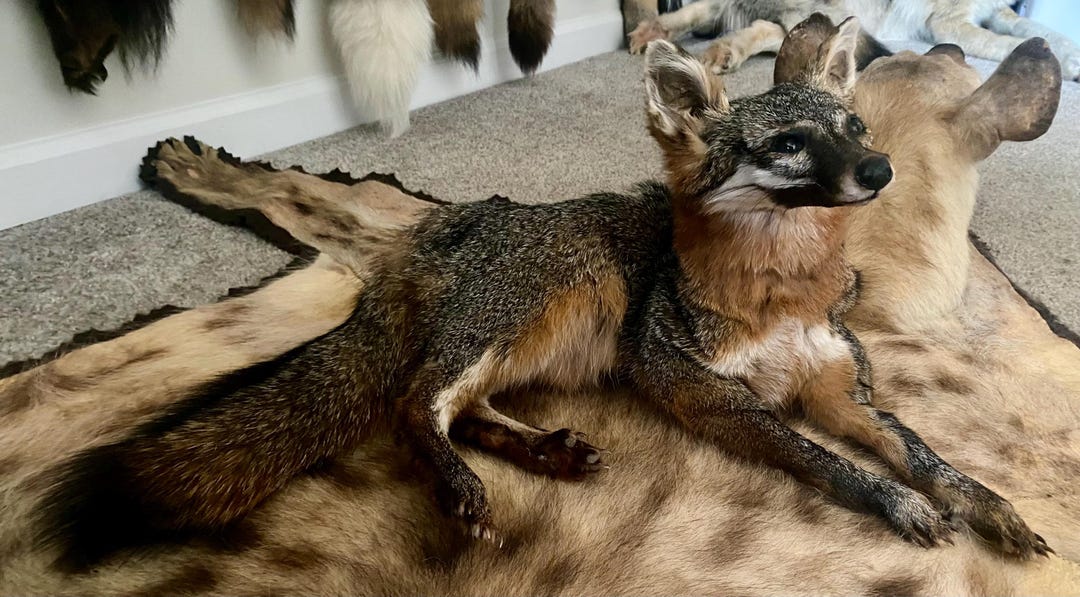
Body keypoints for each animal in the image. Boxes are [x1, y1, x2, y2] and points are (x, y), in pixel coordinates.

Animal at [35, 17, 1049, 573]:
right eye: (790, 146)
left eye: (853, 129)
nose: (878, 172)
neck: (781, 291)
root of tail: (436, 236)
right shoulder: (707, 391)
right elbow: (830, 459)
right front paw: (901, 506)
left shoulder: (843, 388)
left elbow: (924, 450)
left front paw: (986, 503)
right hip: (556, 291)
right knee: (412, 399)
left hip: (546, 338)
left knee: (460, 402)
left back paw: (543, 451)